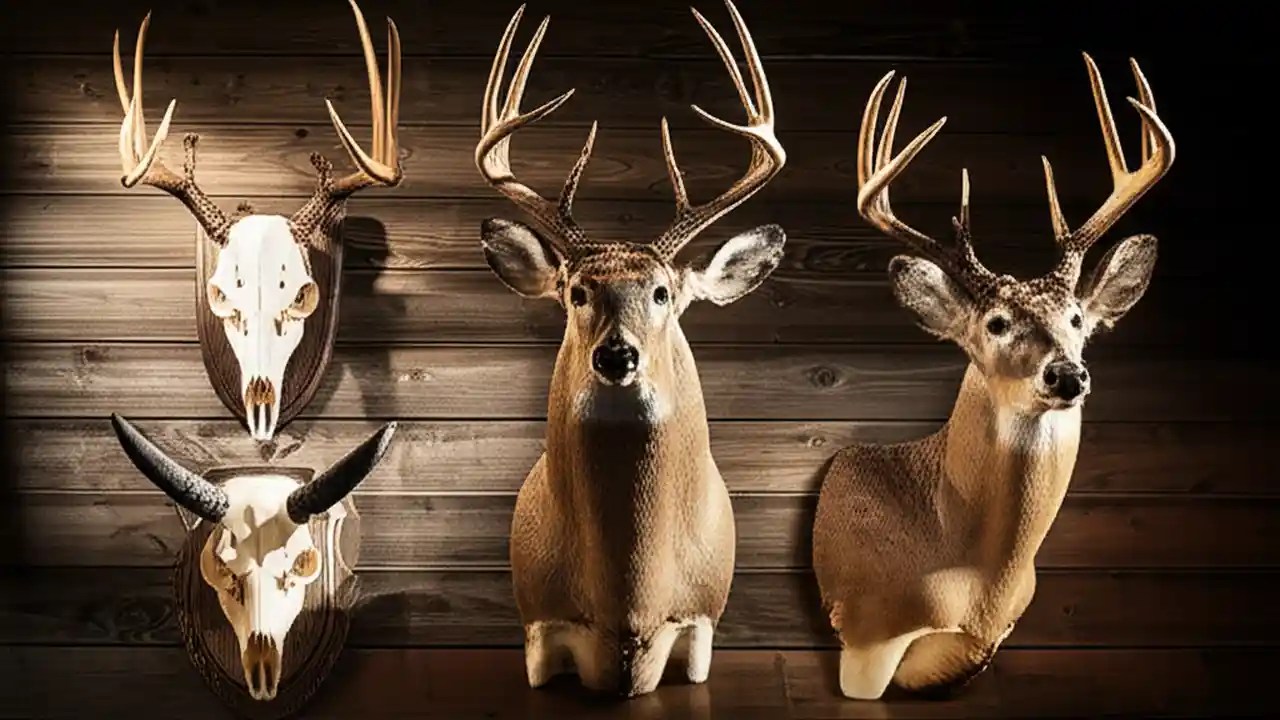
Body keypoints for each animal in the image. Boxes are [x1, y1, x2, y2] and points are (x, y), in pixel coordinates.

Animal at [473, 0, 786, 698]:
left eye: (664, 292)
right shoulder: (537, 623)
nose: (617, 357)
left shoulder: (702, 621)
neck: (628, 604)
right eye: (576, 292)